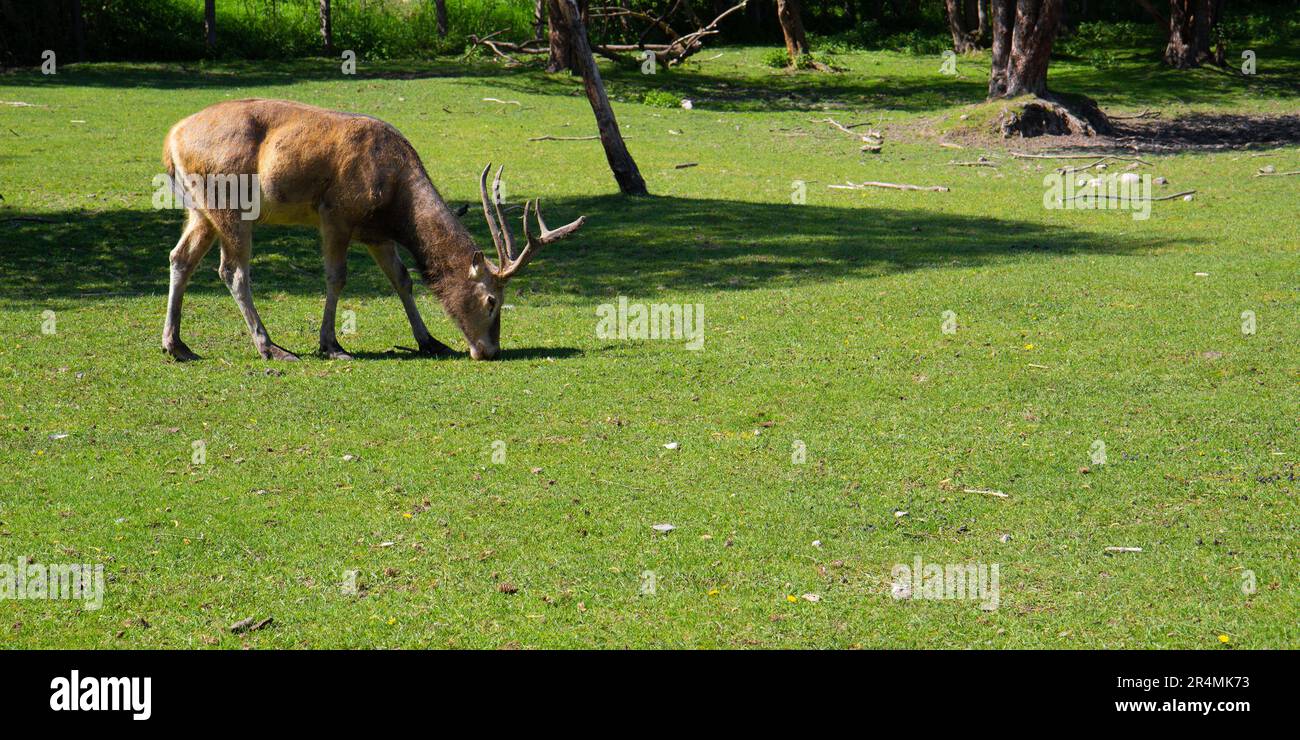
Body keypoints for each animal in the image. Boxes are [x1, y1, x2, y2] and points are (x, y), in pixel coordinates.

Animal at [160, 98, 585, 362]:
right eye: (491, 300)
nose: (489, 350)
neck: (396, 200)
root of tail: (171, 139)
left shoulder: (377, 234)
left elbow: (403, 279)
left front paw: (430, 341)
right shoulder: (335, 214)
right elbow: (336, 277)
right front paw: (331, 344)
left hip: (199, 210)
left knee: (180, 258)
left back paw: (176, 345)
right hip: (229, 202)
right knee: (232, 271)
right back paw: (271, 347)